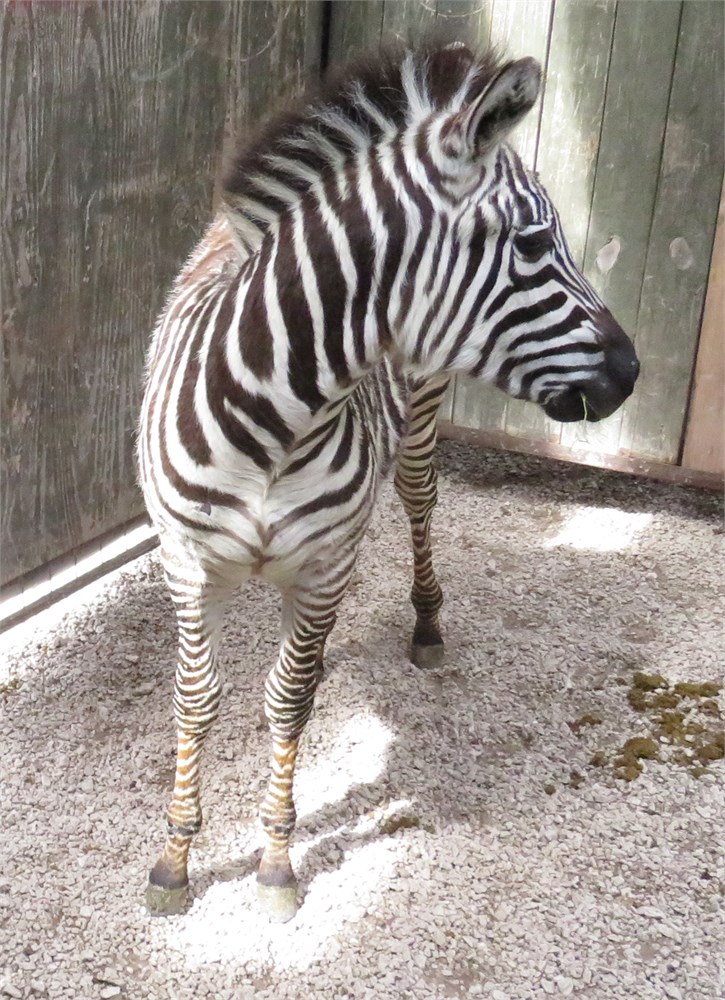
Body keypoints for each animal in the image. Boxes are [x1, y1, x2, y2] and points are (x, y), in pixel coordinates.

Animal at [138, 40, 639, 923]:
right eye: (532, 245)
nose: (631, 373)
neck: (274, 419)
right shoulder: (187, 566)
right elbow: (196, 701)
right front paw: (176, 858)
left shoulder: (324, 558)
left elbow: (285, 701)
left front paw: (275, 858)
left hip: (415, 425)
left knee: (416, 503)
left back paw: (425, 623)